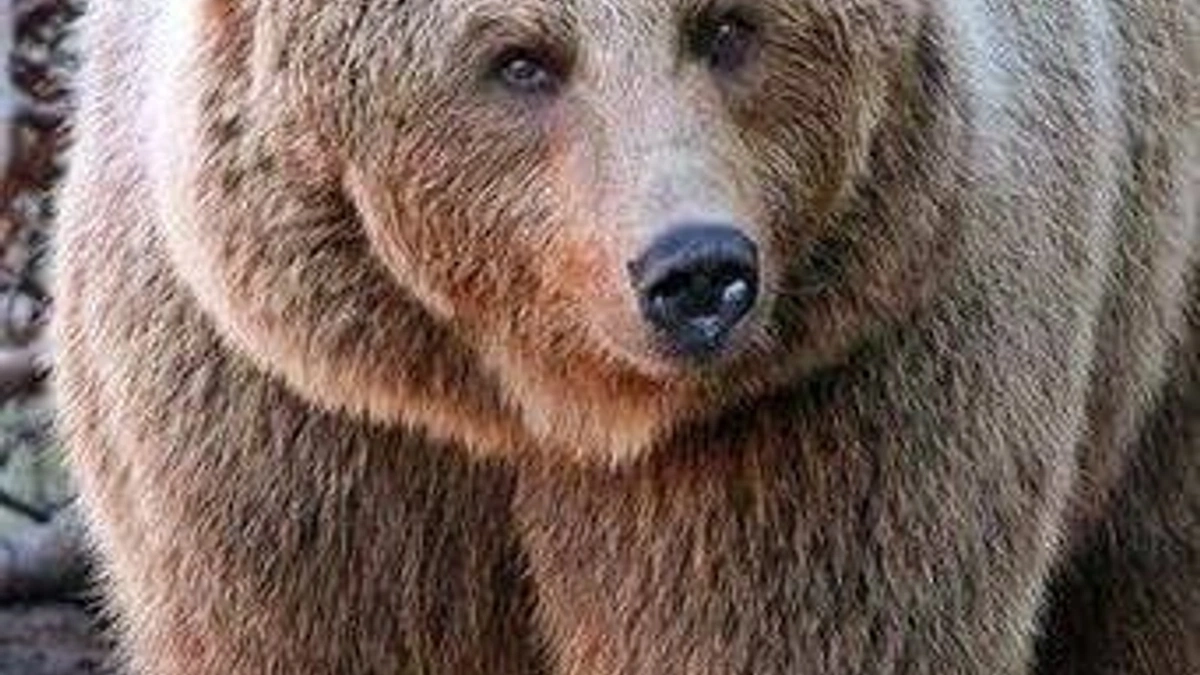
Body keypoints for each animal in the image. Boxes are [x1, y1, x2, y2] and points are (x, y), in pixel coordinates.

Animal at [52, 0, 1198, 673]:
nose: (697, 272)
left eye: (727, 27)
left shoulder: (834, 388)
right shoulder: (293, 416)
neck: (537, 402)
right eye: (521, 61)